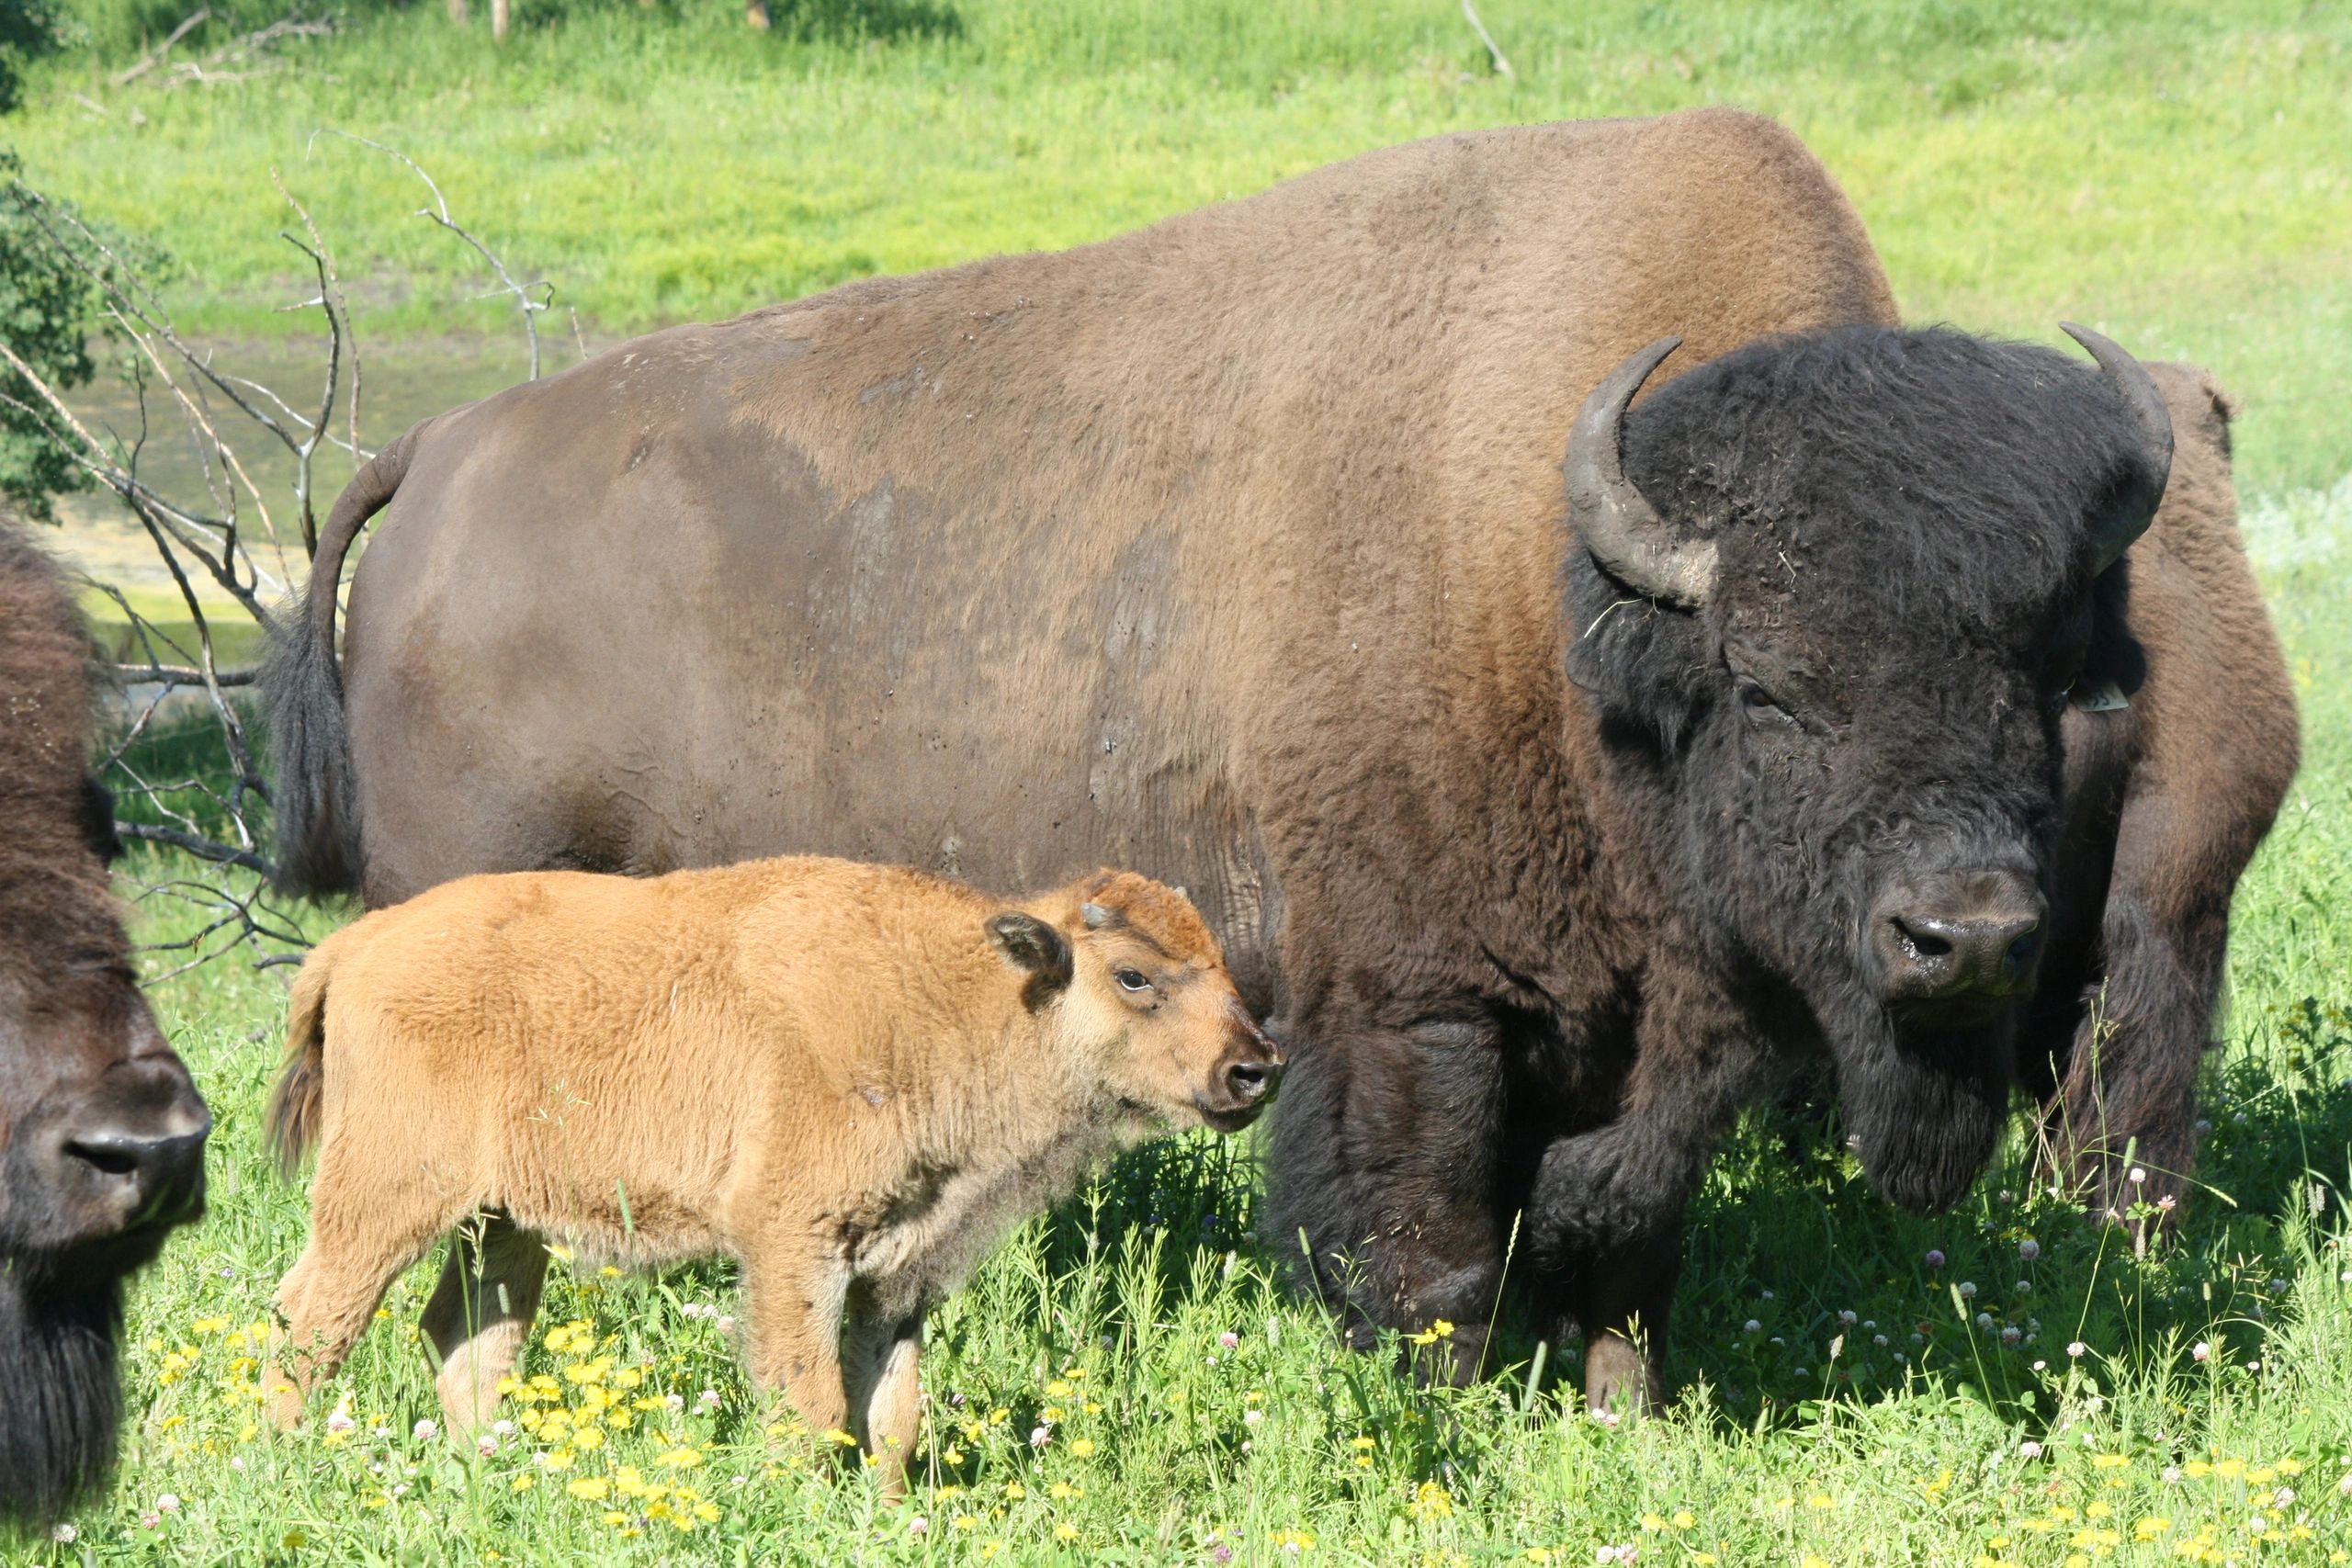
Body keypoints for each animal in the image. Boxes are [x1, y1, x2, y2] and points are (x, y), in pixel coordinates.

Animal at [262, 110, 2296, 1410]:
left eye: (2043, 675)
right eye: (1780, 685)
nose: (1964, 935)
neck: (1575, 603)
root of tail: (441, 454)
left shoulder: (1658, 1038)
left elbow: (1624, 1236)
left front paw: (1623, 1413)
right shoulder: (1410, 1007)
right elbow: (1427, 1249)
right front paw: (1439, 1421)